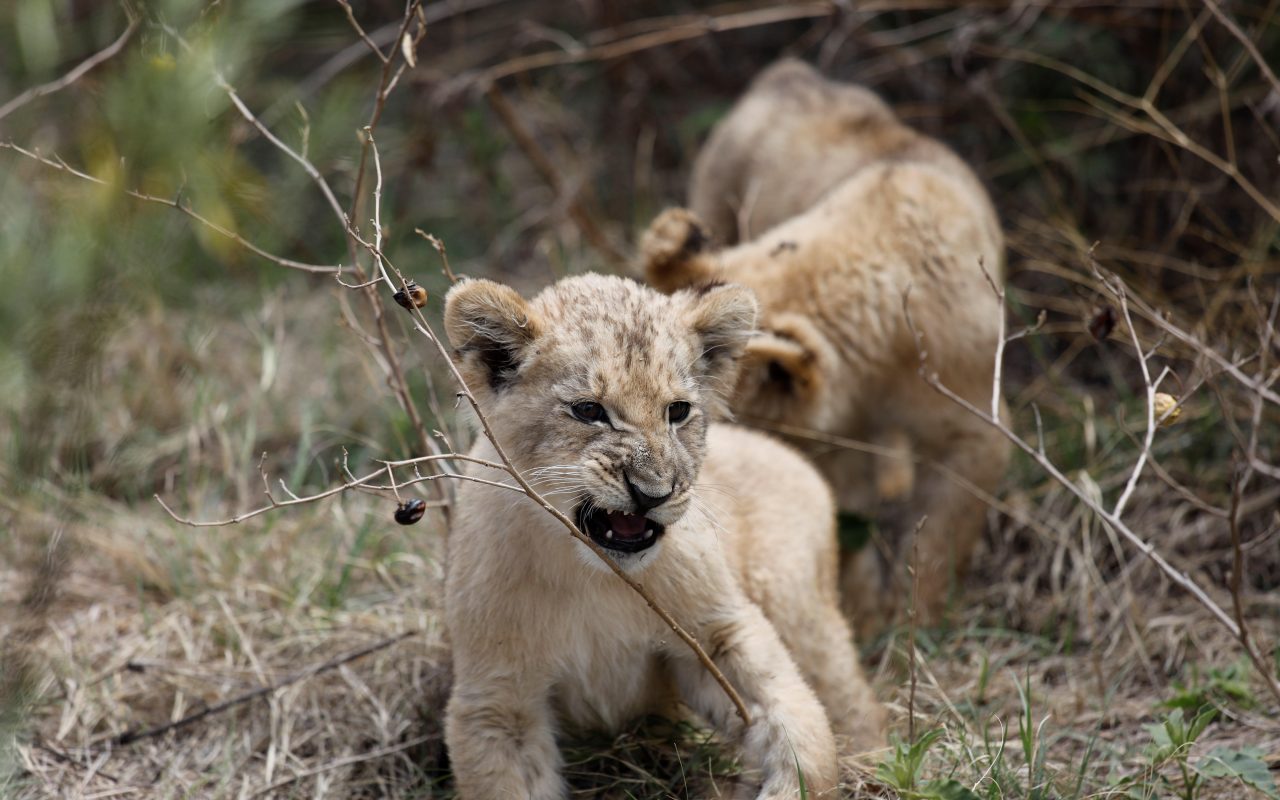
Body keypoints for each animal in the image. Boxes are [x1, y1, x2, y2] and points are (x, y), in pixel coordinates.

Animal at [441, 273, 885, 799]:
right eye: (589, 410)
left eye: (677, 411)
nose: (653, 492)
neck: (592, 575)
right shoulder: (496, 697)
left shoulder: (714, 633)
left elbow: (790, 710)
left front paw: (792, 784)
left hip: (797, 604)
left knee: (849, 696)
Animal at [641, 59, 1010, 636]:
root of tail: (788, 70)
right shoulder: (832, 440)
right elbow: (844, 529)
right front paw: (863, 614)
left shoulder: (976, 425)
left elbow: (943, 535)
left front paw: (916, 626)